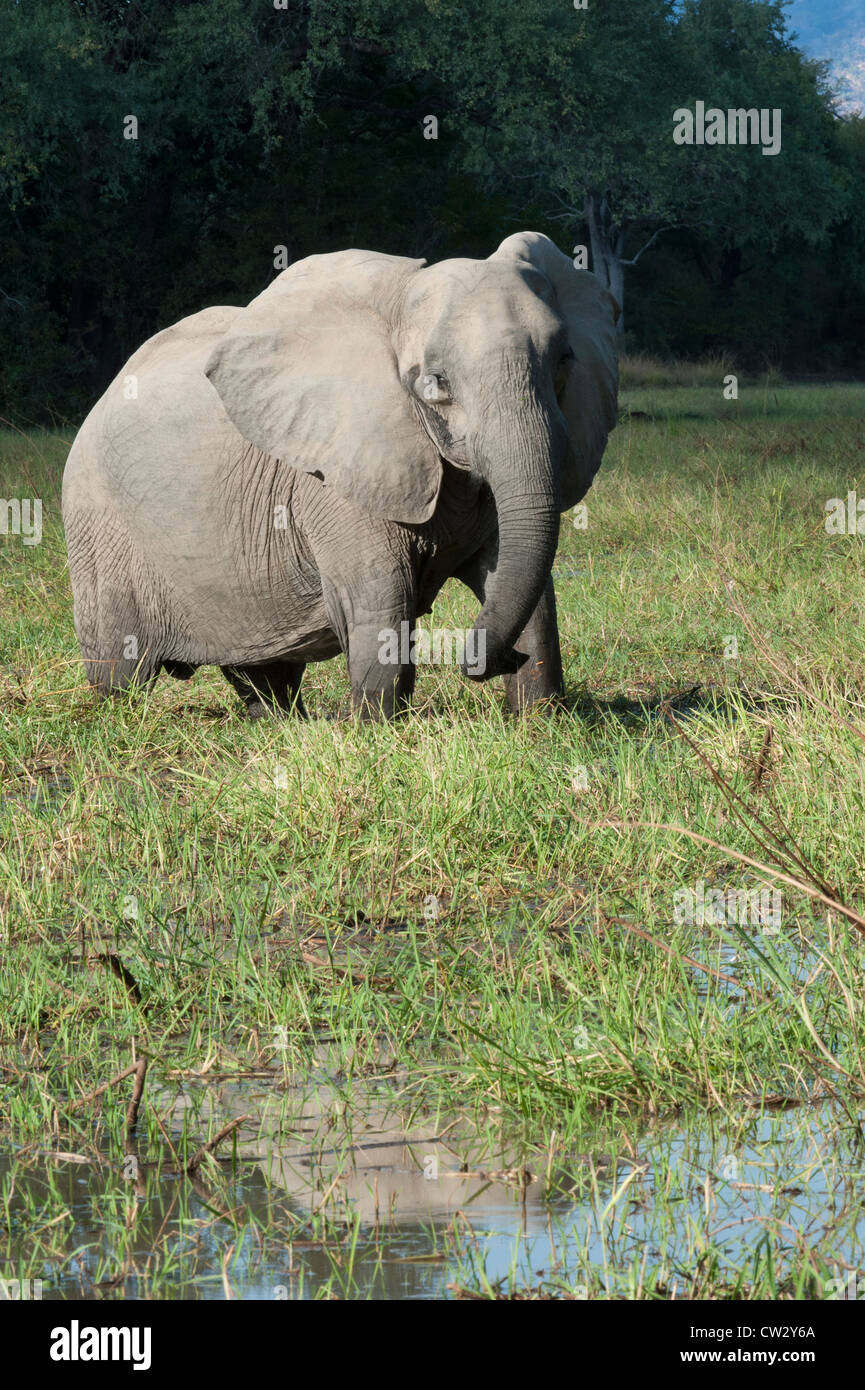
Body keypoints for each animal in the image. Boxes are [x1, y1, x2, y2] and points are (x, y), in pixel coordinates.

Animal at [62, 231, 619, 720]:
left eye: (564, 360)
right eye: (435, 383)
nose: (482, 659)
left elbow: (528, 590)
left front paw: (538, 719)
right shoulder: (333, 476)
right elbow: (380, 598)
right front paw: (377, 730)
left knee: (263, 673)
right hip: (98, 528)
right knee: (122, 672)